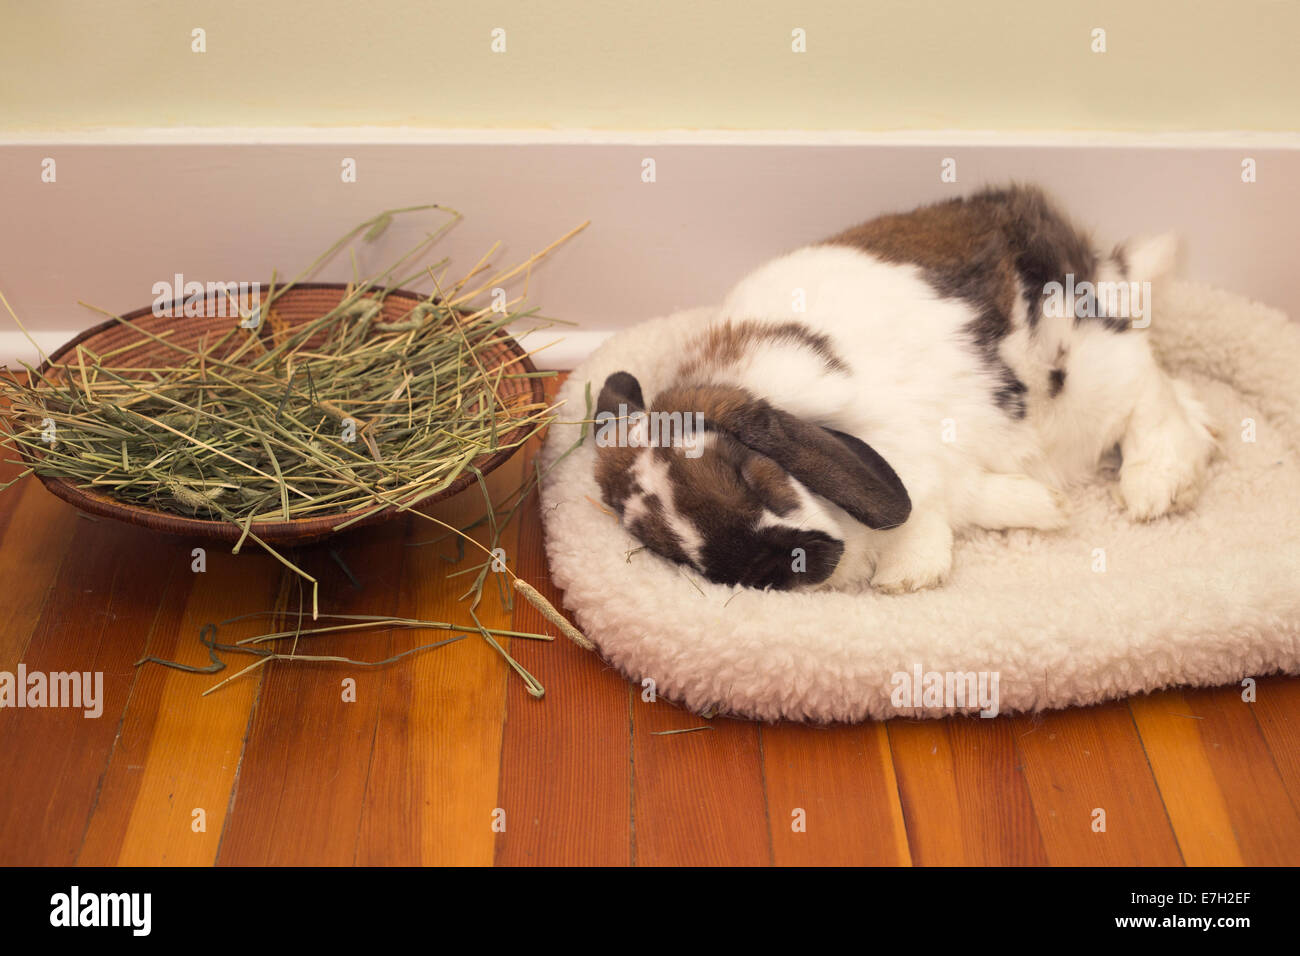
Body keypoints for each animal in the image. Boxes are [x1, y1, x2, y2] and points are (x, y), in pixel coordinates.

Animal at [593, 184, 1219, 593]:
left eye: (752, 472)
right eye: (678, 553)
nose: (793, 565)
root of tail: (1093, 268)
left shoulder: (915, 450)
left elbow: (927, 505)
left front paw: (908, 574)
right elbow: (958, 499)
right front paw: (1042, 508)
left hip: (1079, 380)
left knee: (1147, 388)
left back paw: (1154, 489)